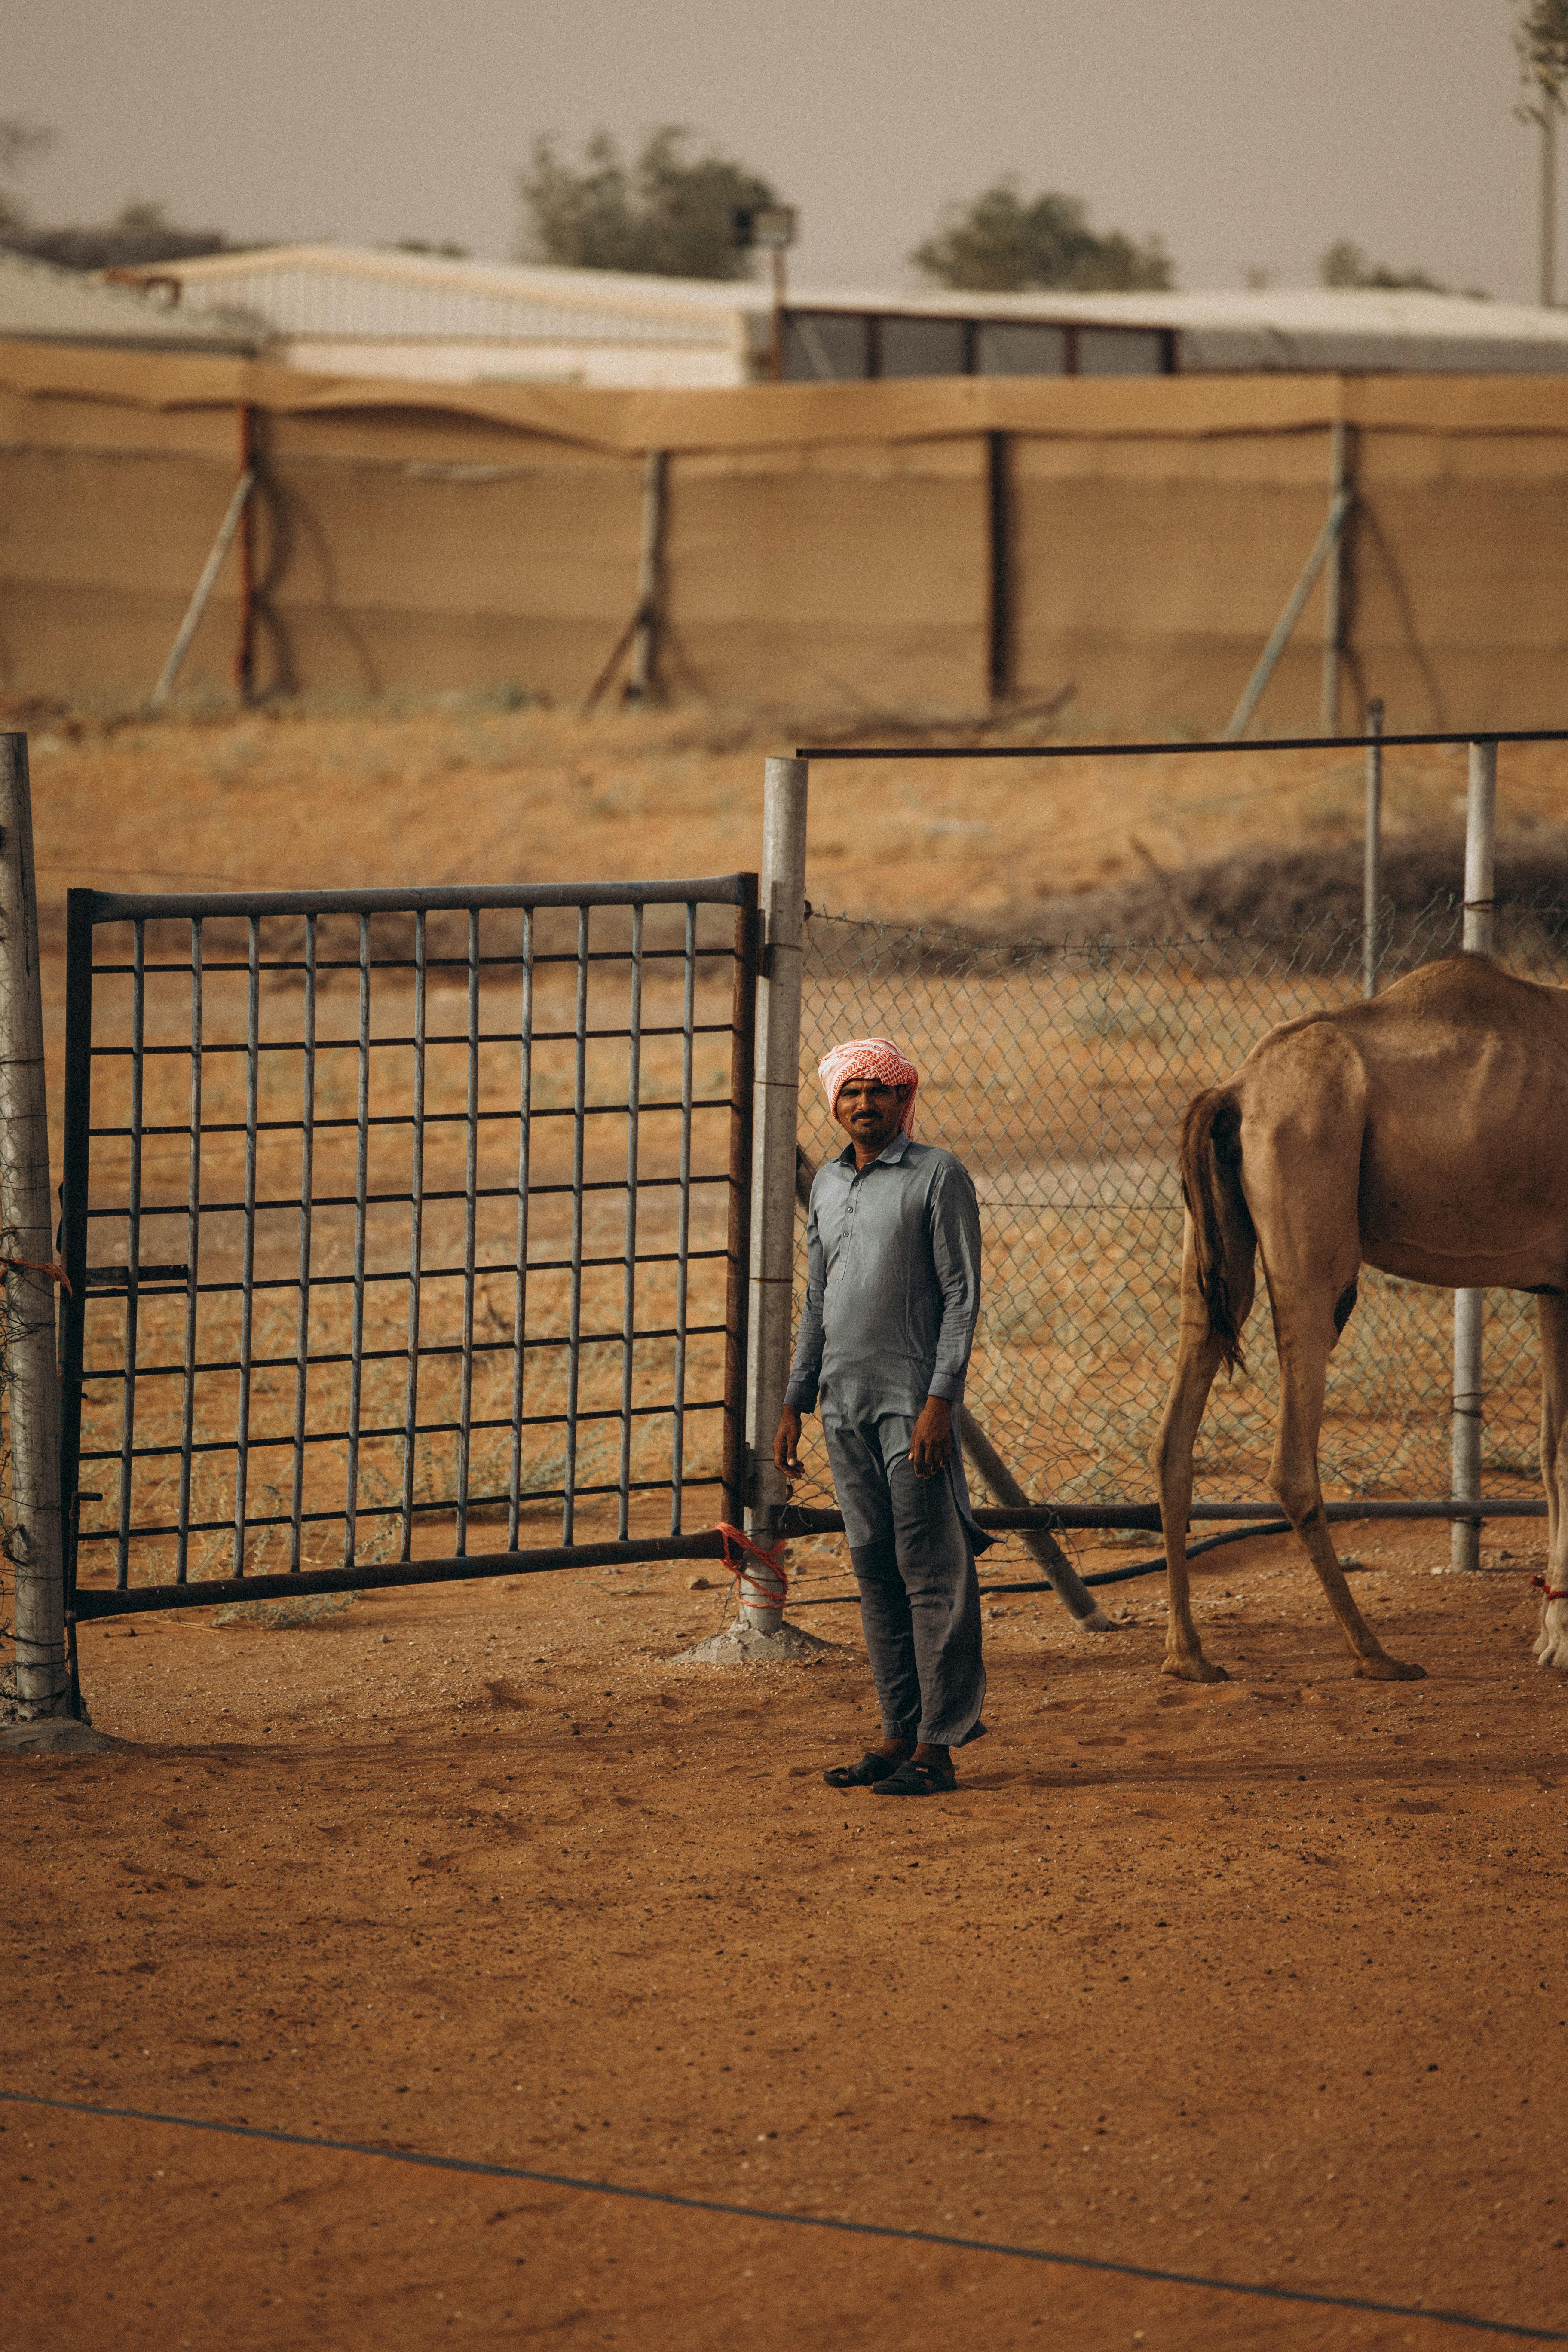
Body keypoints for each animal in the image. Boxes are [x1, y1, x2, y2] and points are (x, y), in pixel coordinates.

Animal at [1151, 953, 1568, 1683]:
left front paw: (1548, 1640)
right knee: (1292, 1460)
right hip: (1316, 1234)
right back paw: (1375, 1653)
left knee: (1177, 1434)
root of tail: (1236, 1090)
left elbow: (1550, 1449)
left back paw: (1188, 1656)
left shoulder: (1551, 1281)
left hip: (1211, 1255)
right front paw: (1564, 1646)